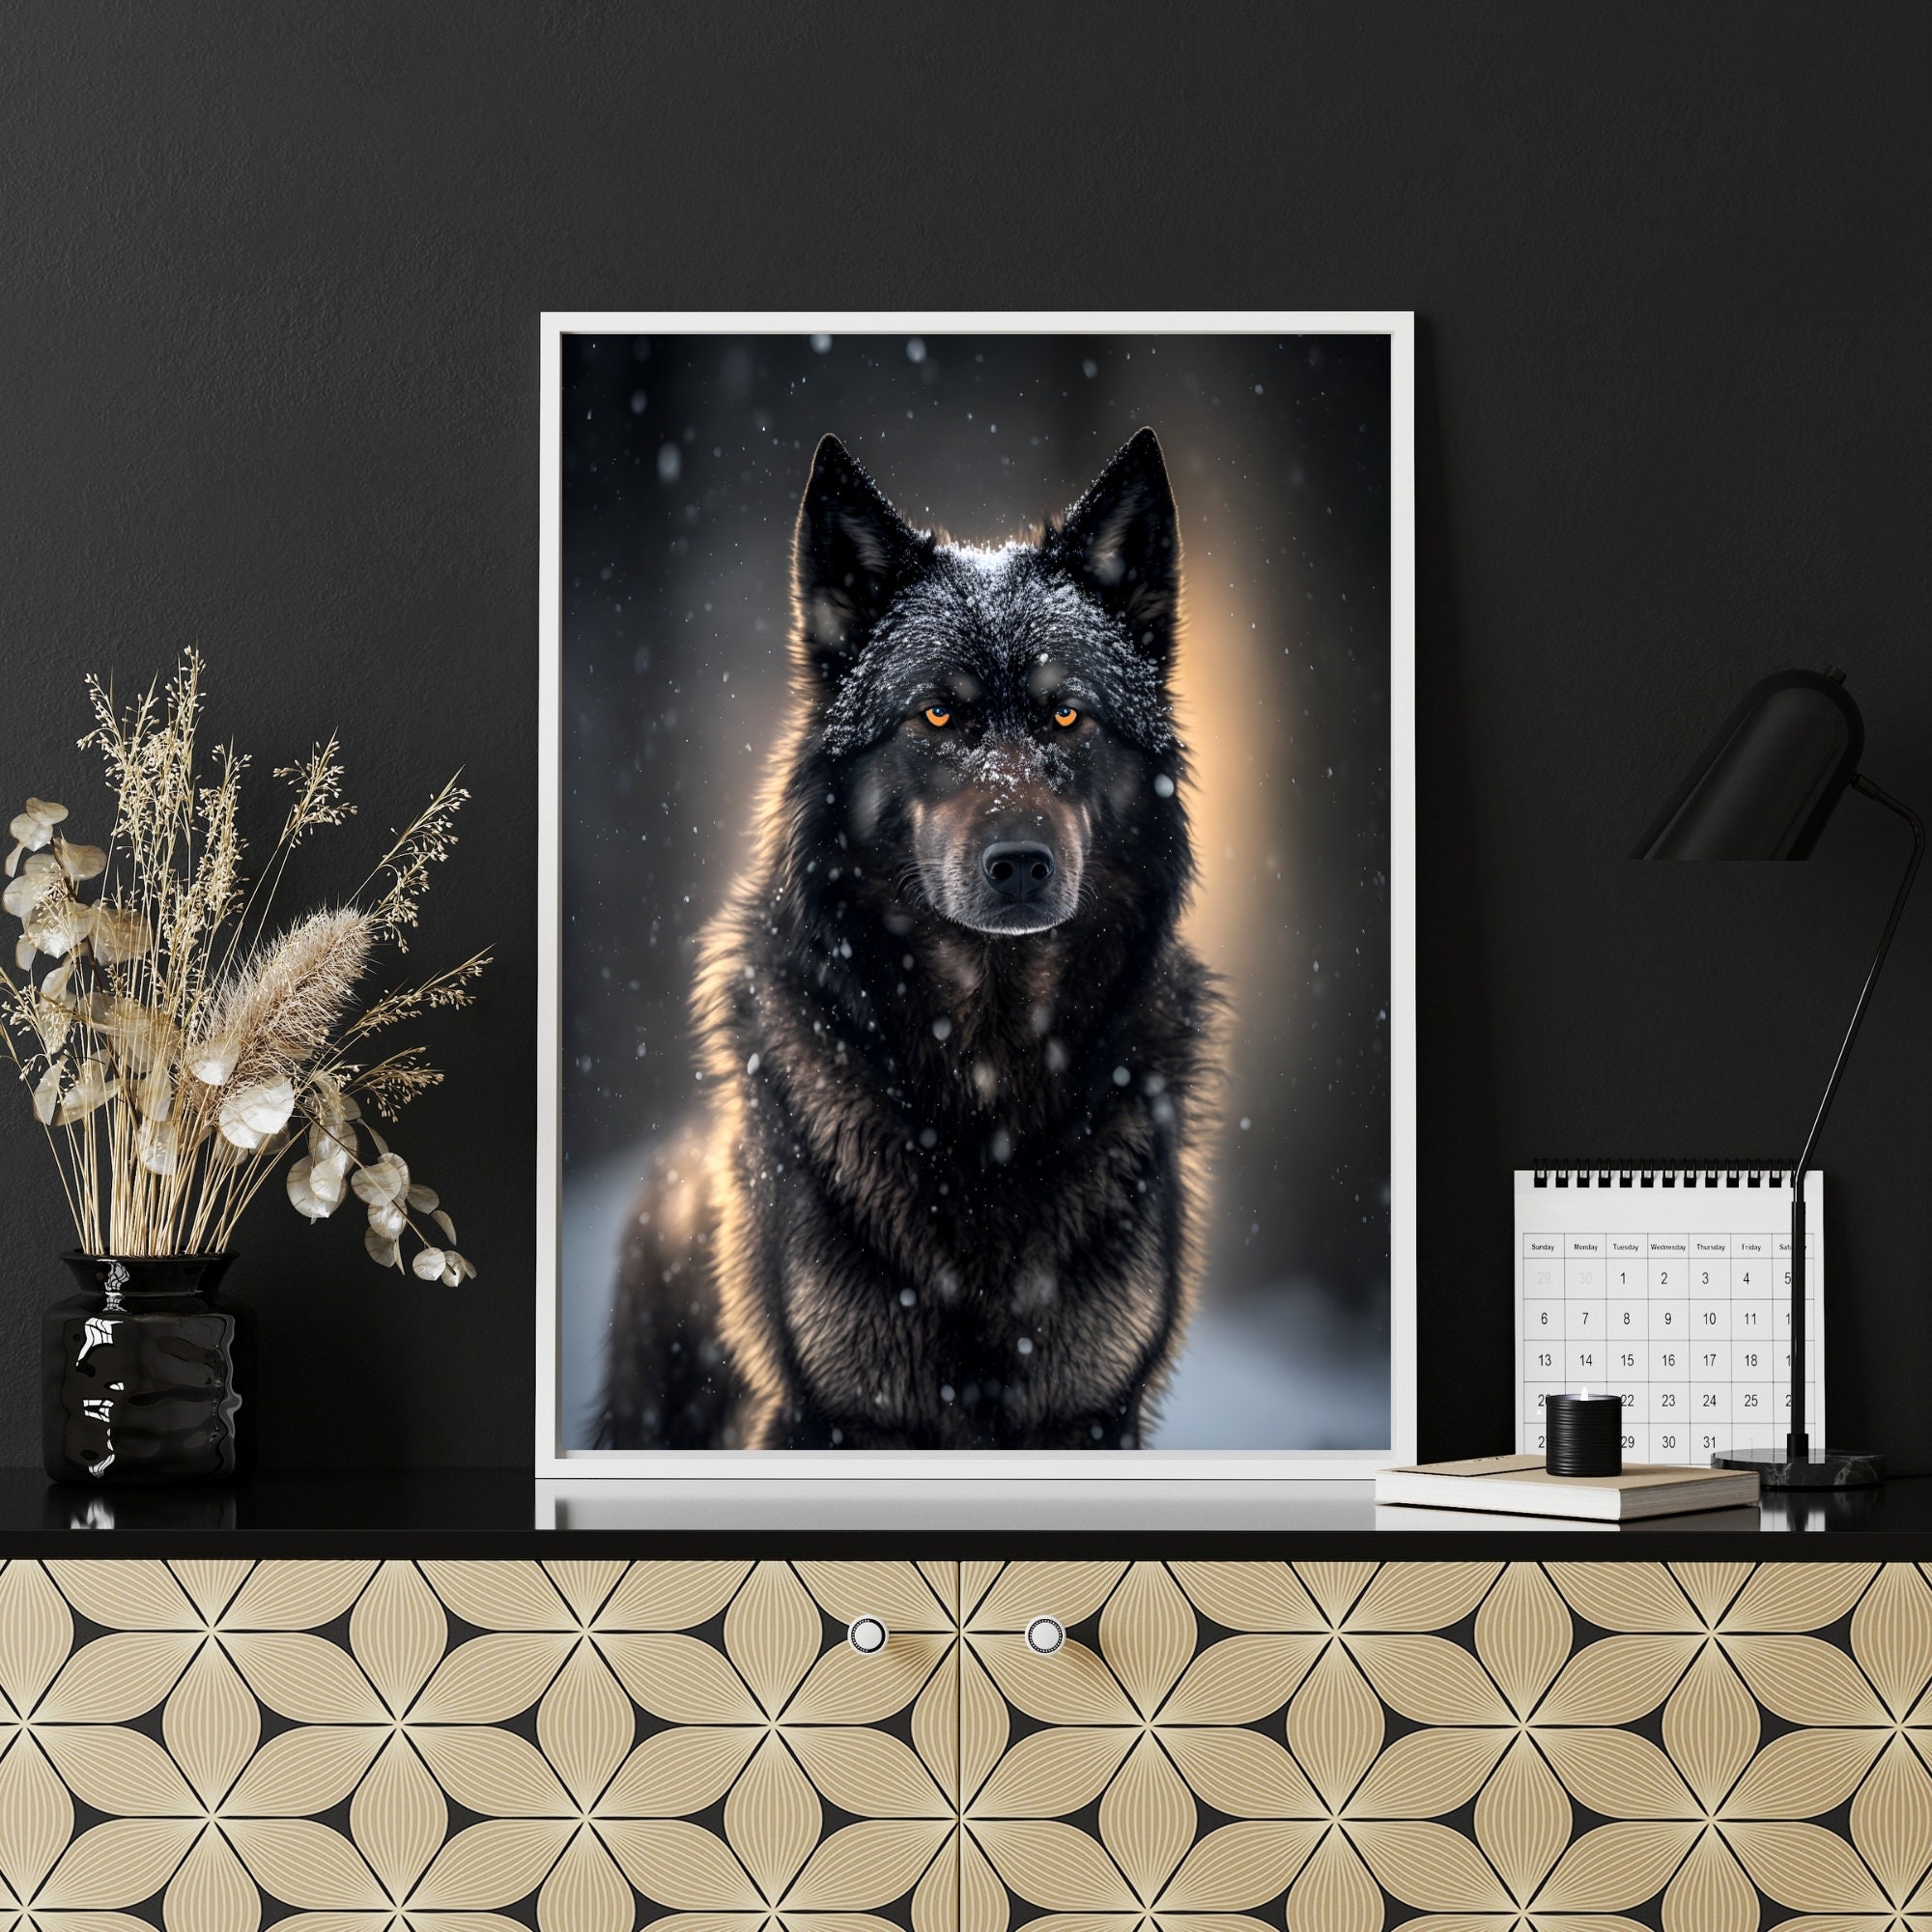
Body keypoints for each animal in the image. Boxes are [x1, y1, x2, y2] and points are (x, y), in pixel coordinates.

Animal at [600, 426, 1220, 1450]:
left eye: (1066, 713)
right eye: (937, 713)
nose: (1021, 864)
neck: (991, 1076)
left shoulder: (1091, 1415)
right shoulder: (836, 1415)